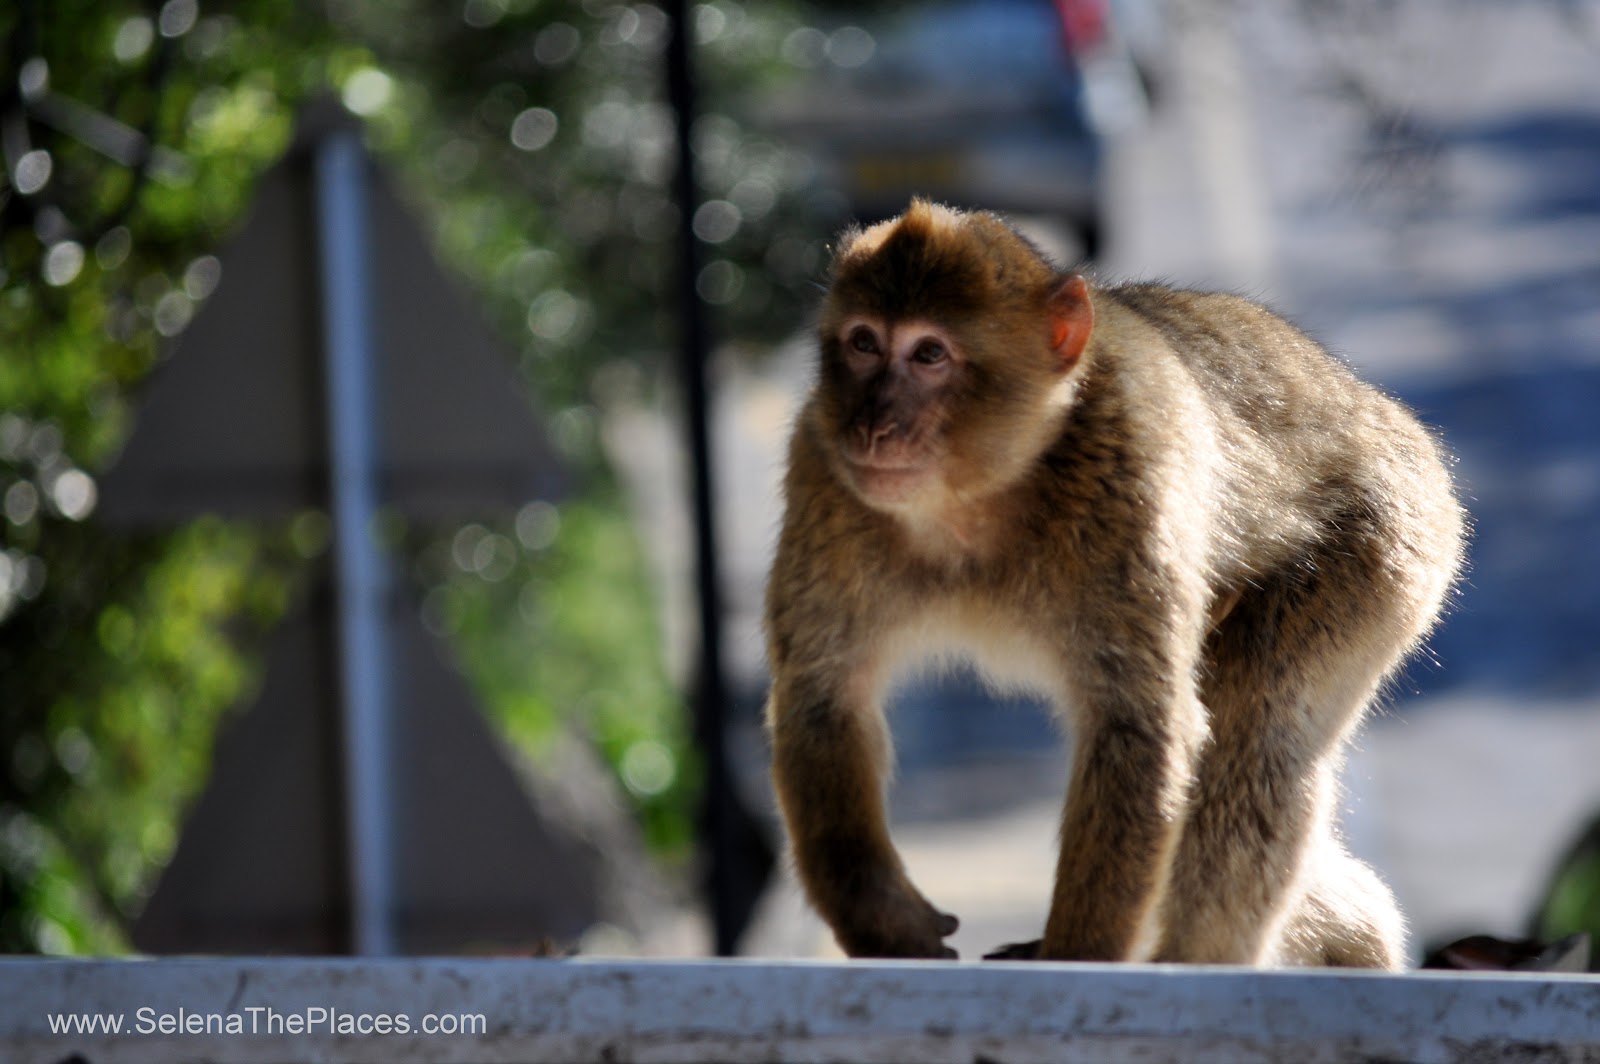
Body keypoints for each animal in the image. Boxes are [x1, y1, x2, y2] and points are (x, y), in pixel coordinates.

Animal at [762, 199, 1465, 967]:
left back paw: (1211, 958)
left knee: (1258, 732)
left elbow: (1141, 727)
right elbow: (826, 698)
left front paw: (1077, 954)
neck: (977, 497)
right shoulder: (823, 468)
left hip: (1389, 542)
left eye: (928, 354)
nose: (872, 425)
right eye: (864, 343)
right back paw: (1354, 933)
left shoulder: (1131, 471)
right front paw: (883, 923)